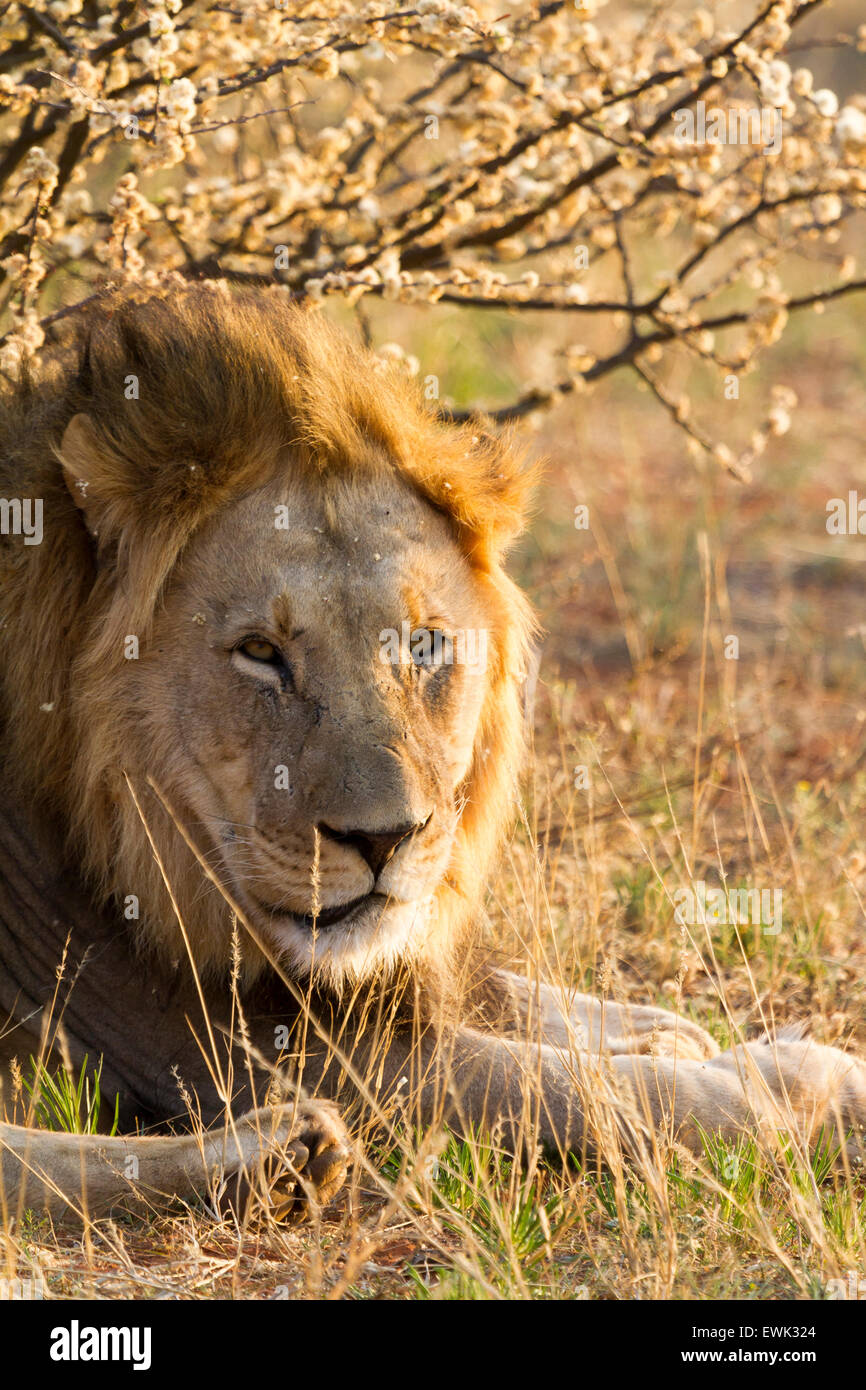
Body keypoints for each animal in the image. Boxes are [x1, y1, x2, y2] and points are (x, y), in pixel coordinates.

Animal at [1, 284, 864, 1220]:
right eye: (260, 652)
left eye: (422, 645)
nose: (384, 839)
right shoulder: (223, 1040)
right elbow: (577, 1088)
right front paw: (805, 1086)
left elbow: (515, 996)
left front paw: (654, 1031)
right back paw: (274, 1156)